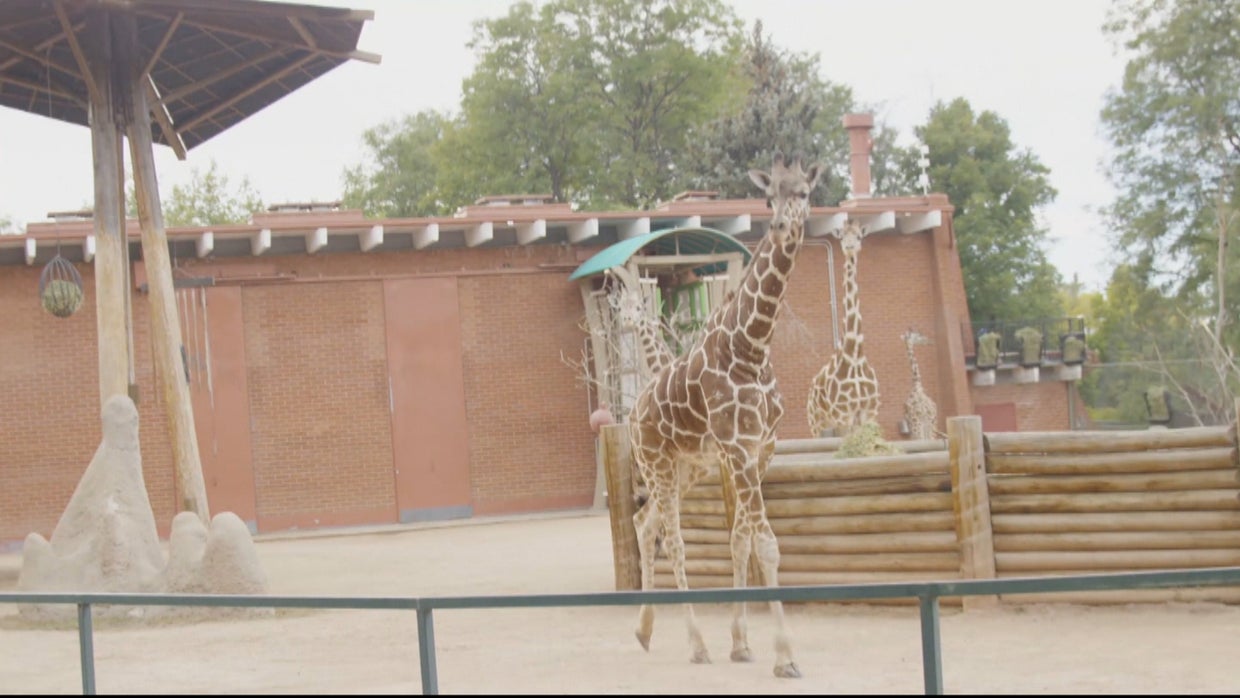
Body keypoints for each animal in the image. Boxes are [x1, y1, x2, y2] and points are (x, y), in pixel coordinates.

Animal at [628, 152, 821, 679]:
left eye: (803, 192)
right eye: (767, 197)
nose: (780, 226)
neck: (752, 346)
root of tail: (631, 413)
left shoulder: (761, 448)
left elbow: (742, 541)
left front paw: (741, 643)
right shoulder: (737, 448)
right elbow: (766, 543)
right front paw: (785, 656)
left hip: (687, 468)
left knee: (646, 523)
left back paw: (645, 631)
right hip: (656, 463)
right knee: (671, 538)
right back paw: (695, 644)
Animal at [806, 220, 880, 438]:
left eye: (858, 236)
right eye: (842, 237)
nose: (849, 247)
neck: (854, 355)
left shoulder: (868, 413)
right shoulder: (843, 415)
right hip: (818, 425)